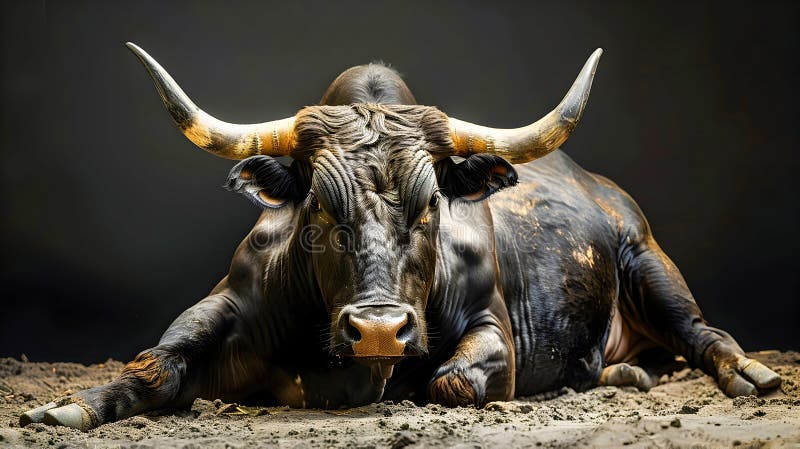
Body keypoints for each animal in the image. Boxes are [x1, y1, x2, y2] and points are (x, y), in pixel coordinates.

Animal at [21, 43, 781, 431]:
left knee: (702, 334)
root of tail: (604, 188)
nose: (380, 330)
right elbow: (155, 364)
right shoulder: (224, 303)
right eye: (320, 209)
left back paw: (747, 372)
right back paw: (621, 373)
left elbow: (451, 380)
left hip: (649, 263)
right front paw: (71, 406)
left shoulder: (494, 333)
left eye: (428, 209)